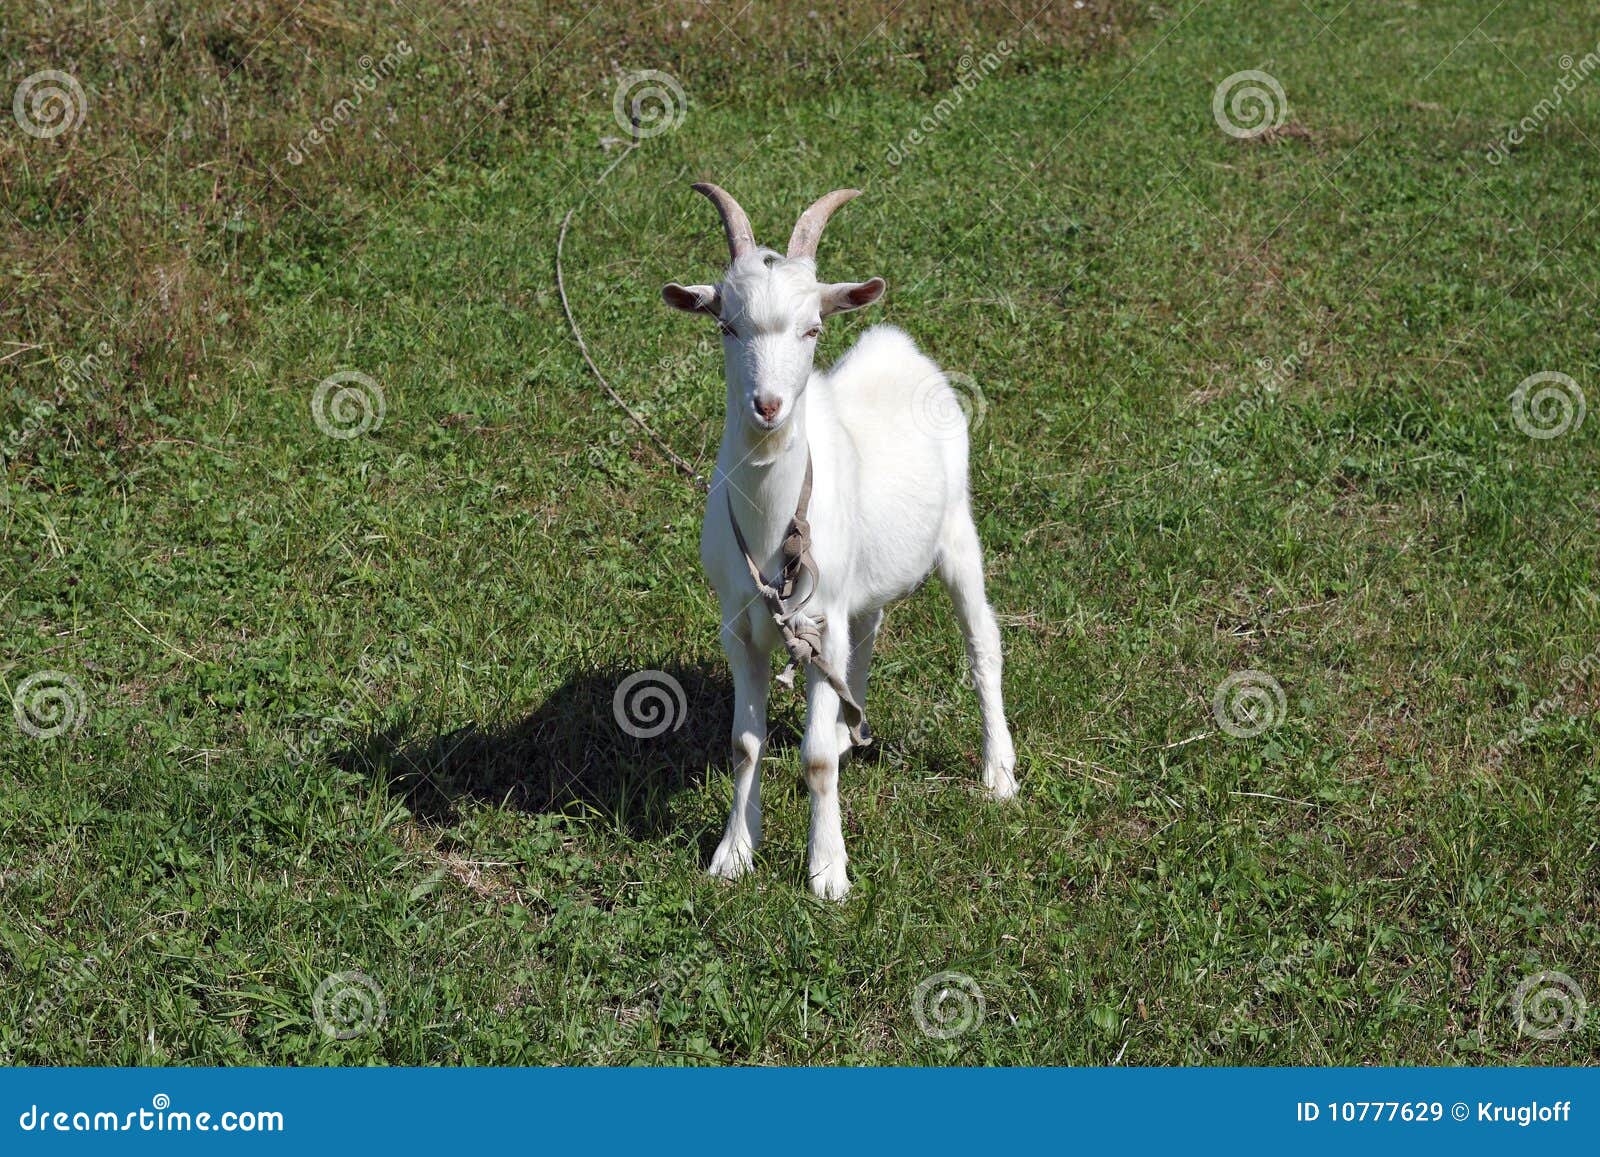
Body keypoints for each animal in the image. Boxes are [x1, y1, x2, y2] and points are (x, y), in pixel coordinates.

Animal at [662, 183, 1016, 899]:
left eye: (812, 328)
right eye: (727, 326)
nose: (768, 406)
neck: (775, 527)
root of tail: (893, 344)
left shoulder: (818, 620)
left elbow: (817, 758)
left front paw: (827, 871)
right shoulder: (740, 626)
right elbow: (745, 744)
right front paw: (734, 854)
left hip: (957, 532)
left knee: (982, 641)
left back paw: (999, 771)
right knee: (869, 632)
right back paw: (858, 727)